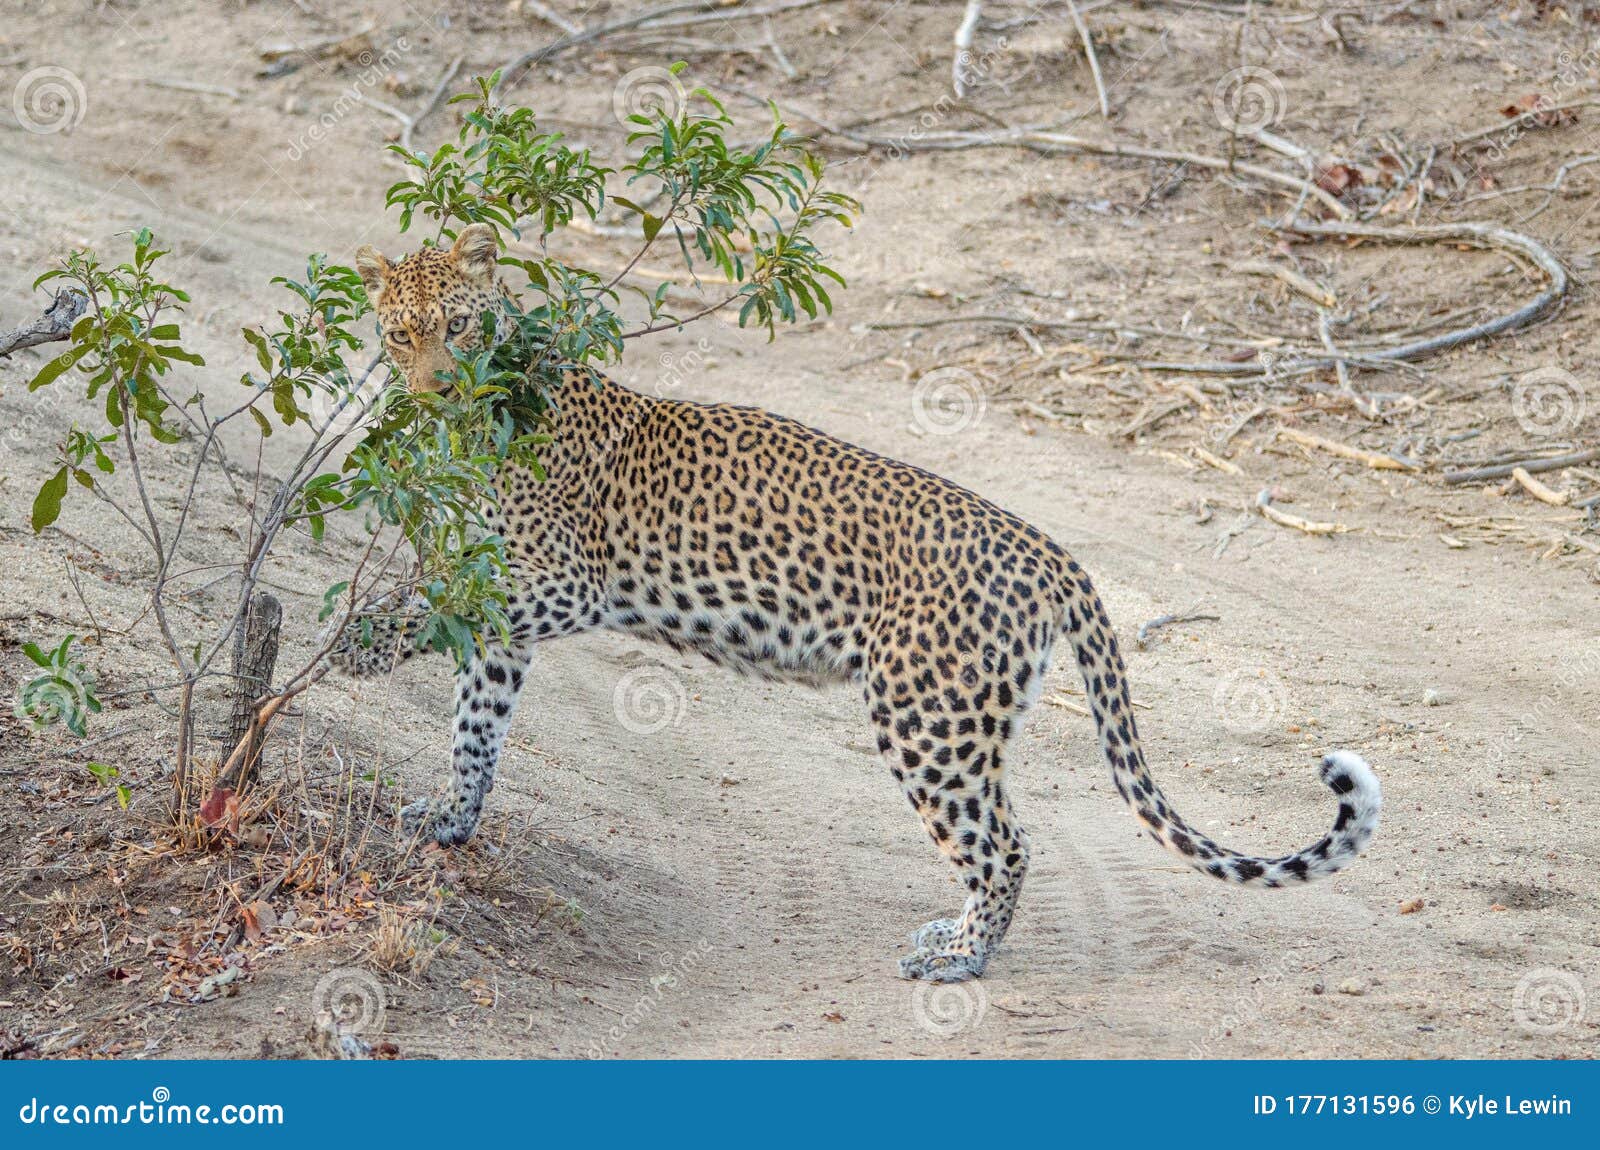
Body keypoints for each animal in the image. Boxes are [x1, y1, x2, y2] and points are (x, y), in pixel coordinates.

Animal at [337, 224, 1383, 982]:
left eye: (458, 327)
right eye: (401, 333)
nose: (432, 391)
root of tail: (1052, 553)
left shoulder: (561, 579)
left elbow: (431, 603)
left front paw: (355, 641)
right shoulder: (508, 612)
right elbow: (476, 724)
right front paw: (450, 819)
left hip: (925, 714)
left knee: (1006, 845)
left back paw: (958, 959)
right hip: (962, 719)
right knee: (1006, 836)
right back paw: (959, 940)